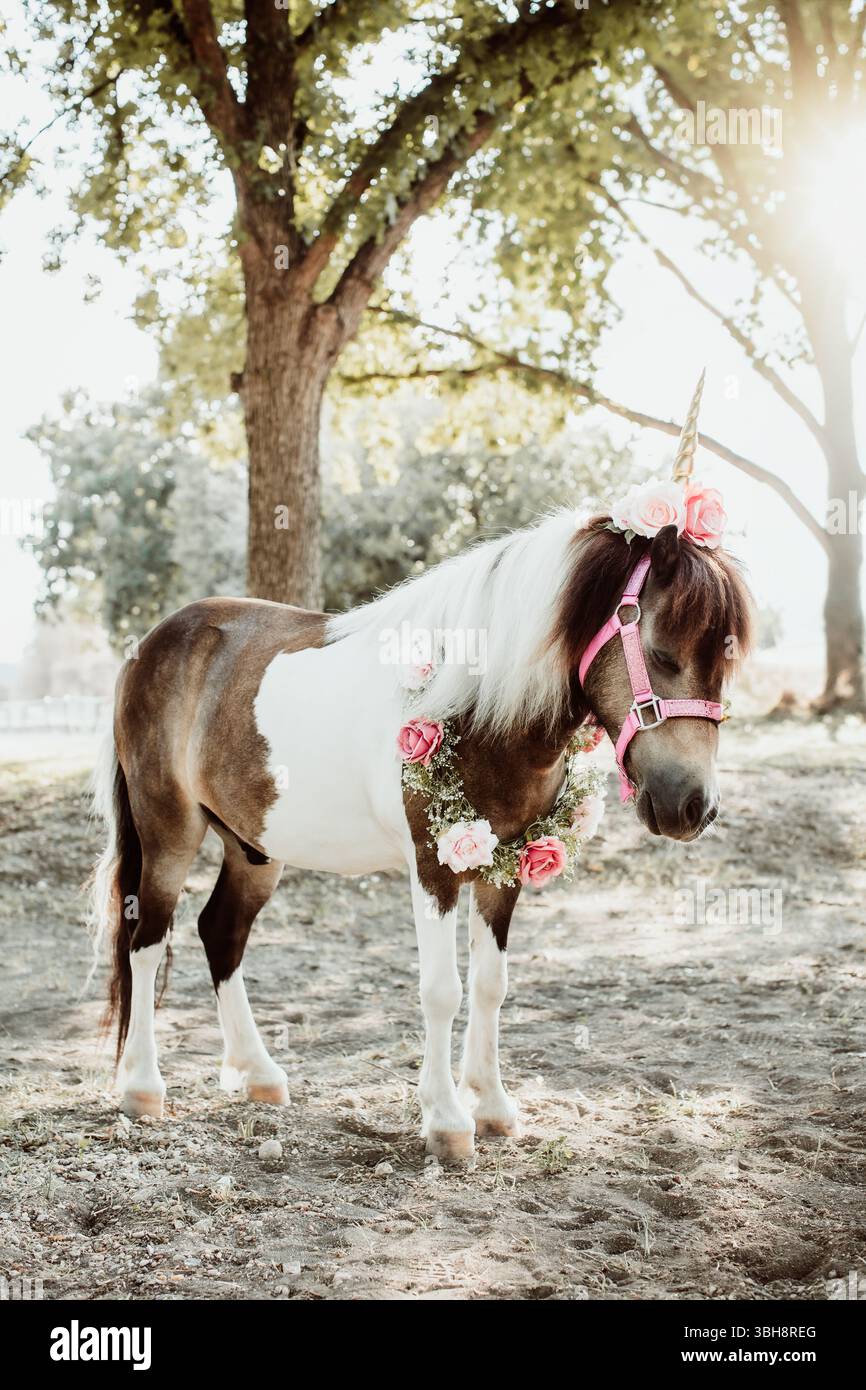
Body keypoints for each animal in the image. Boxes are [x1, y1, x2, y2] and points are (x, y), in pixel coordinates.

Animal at [91, 510, 752, 1161]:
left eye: (724, 664)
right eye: (662, 653)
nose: (694, 806)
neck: (480, 707)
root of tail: (151, 644)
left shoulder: (507, 865)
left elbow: (490, 985)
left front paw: (492, 1105)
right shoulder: (434, 864)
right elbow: (442, 990)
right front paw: (446, 1119)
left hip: (253, 847)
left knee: (220, 932)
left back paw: (259, 1075)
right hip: (169, 829)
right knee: (147, 941)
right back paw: (142, 1088)